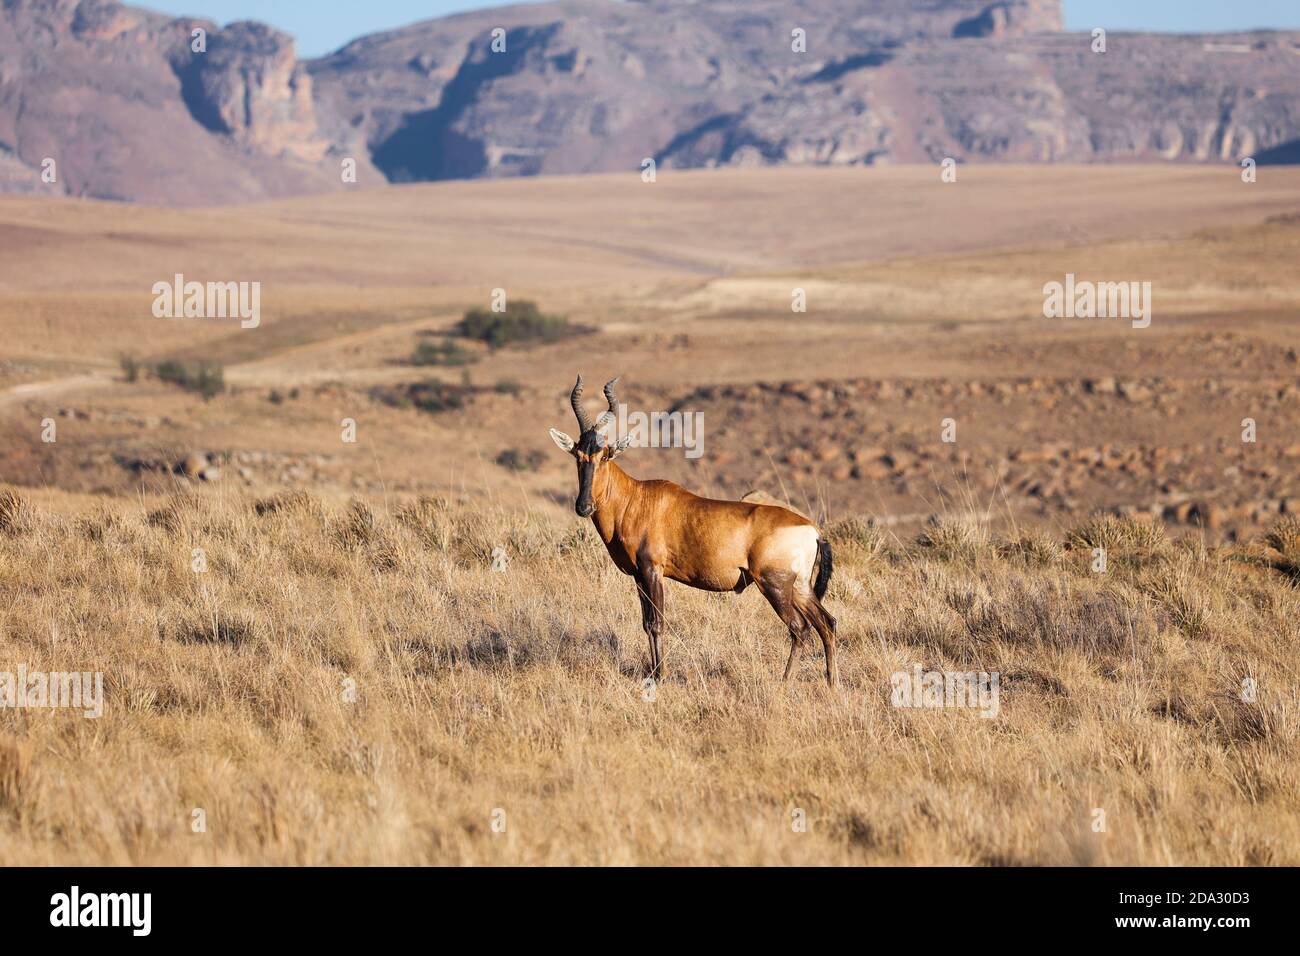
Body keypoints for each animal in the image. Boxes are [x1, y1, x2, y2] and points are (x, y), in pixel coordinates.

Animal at [549, 376, 838, 687]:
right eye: (578, 455)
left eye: (605, 455)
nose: (584, 506)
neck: (637, 498)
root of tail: (813, 531)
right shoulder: (638, 576)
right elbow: (646, 624)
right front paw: (653, 672)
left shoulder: (653, 570)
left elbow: (657, 623)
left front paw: (660, 676)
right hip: (800, 587)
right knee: (827, 623)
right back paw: (831, 683)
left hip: (775, 585)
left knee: (800, 628)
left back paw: (785, 682)